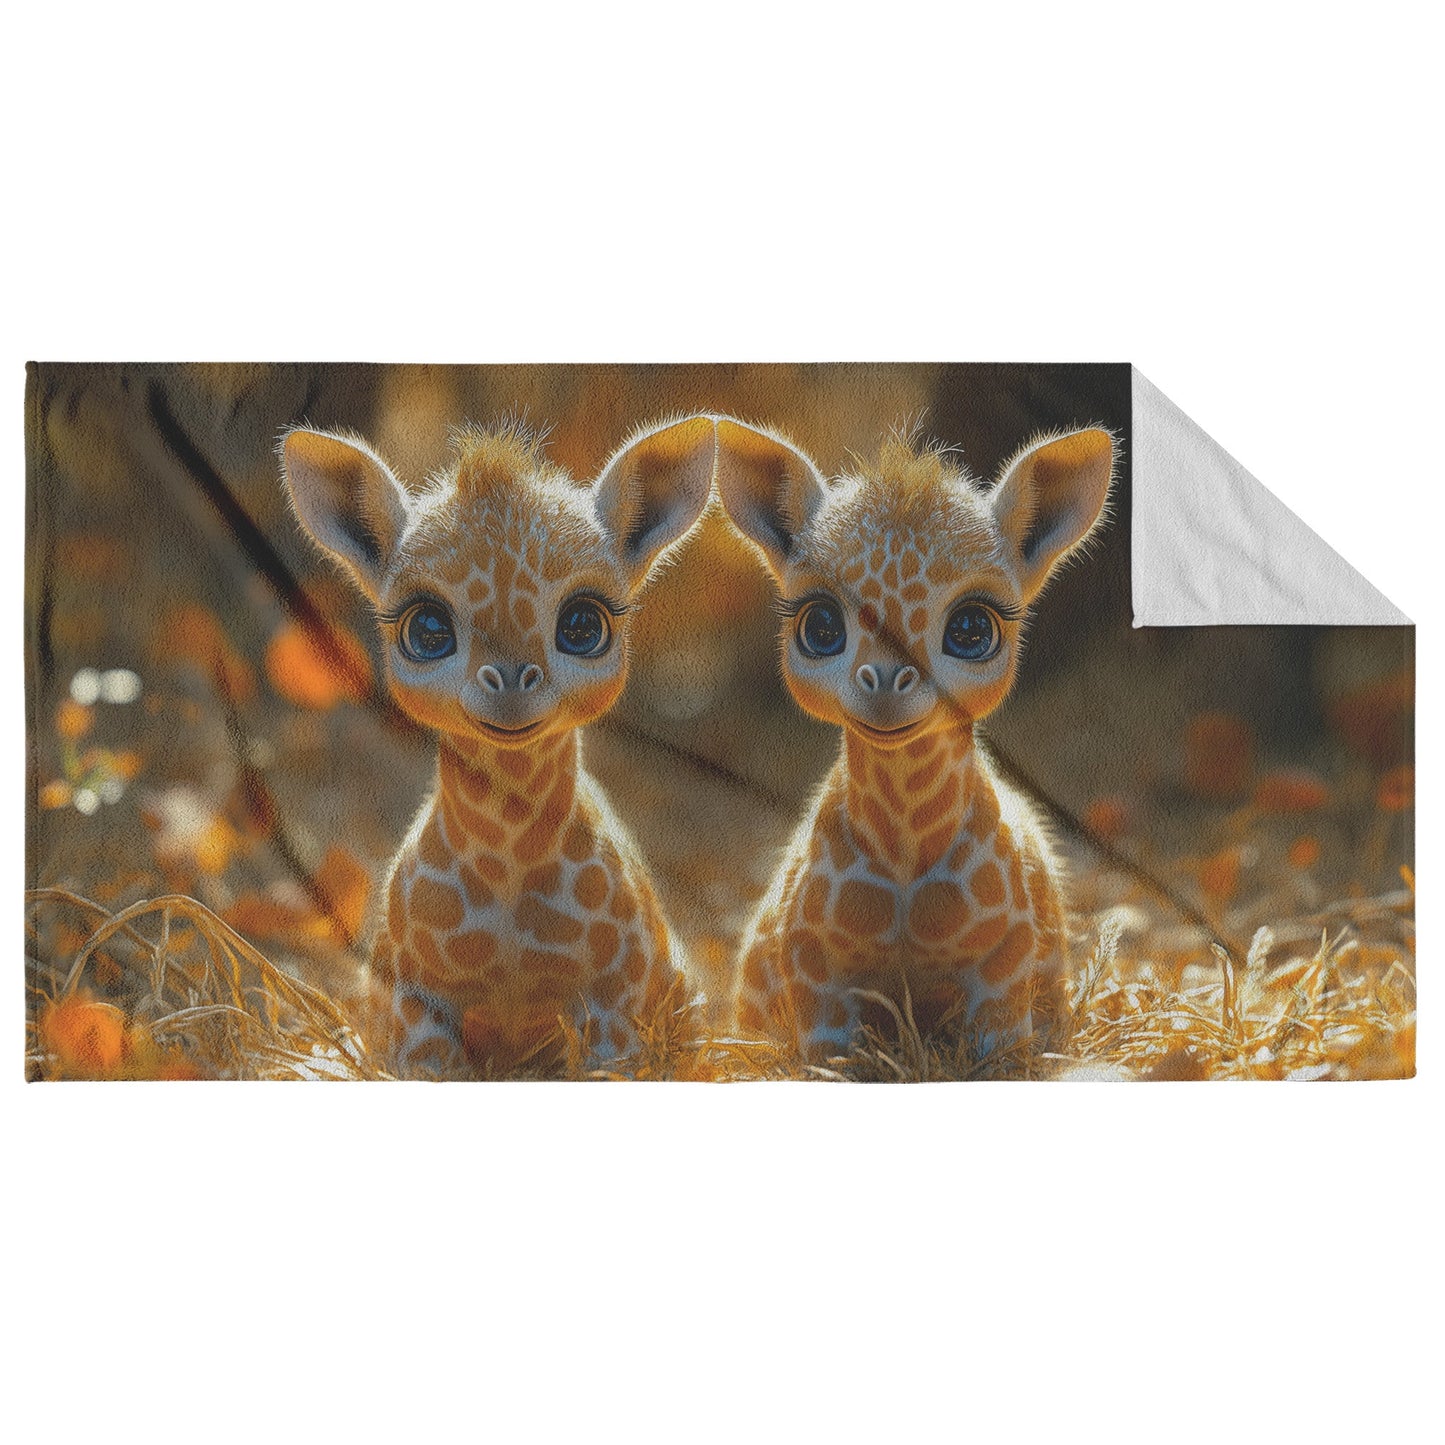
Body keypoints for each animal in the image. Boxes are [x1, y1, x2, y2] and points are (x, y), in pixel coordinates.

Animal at [280, 415, 717, 1077]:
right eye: (426, 627)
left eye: (584, 624)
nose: (510, 683)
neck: (509, 877)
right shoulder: (413, 997)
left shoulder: (615, 996)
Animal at [713, 417, 1115, 1063]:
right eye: (819, 624)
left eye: (972, 628)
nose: (884, 682)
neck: (904, 860)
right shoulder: (812, 963)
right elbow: (828, 1058)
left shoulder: (1004, 959)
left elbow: (1000, 1052)